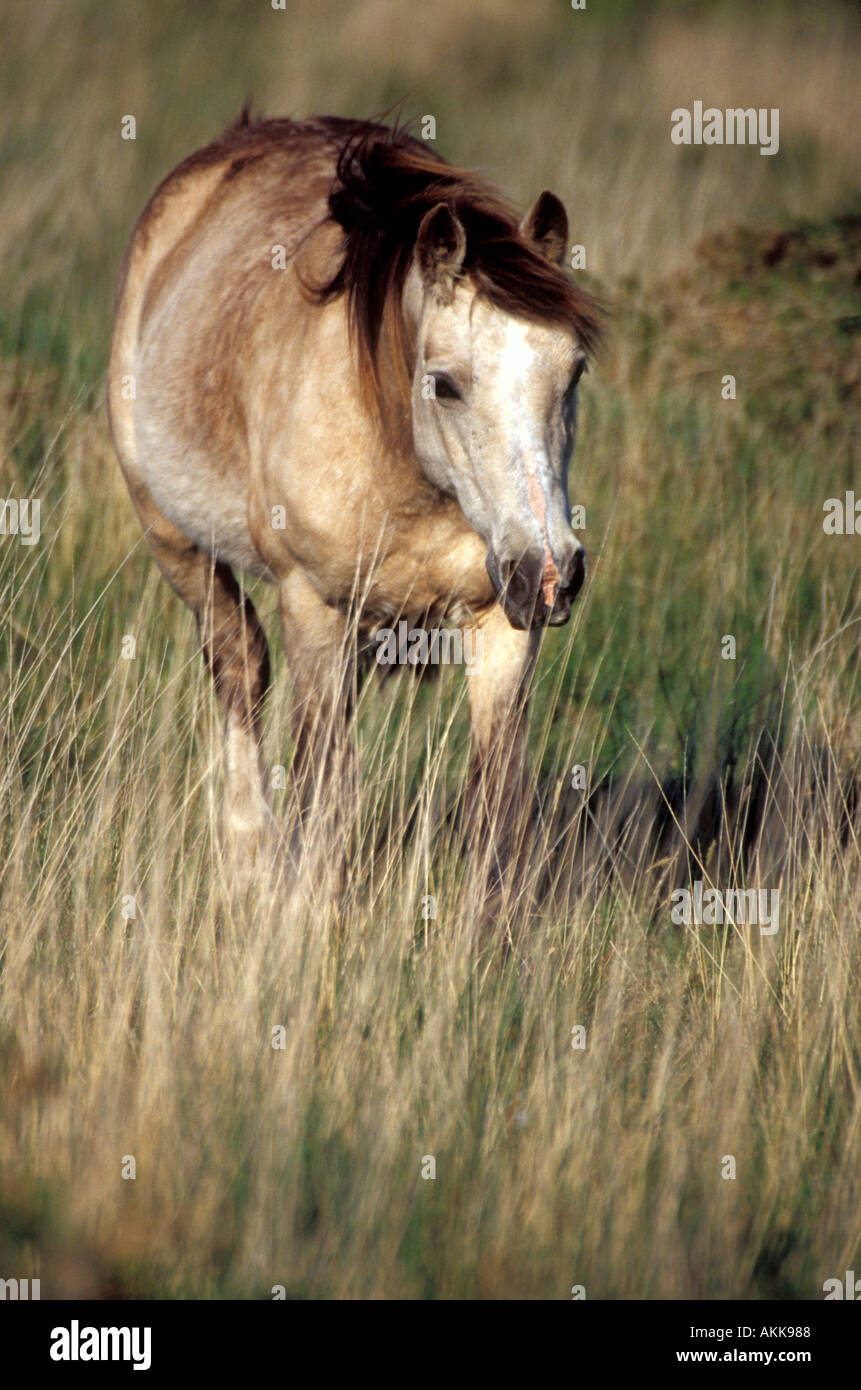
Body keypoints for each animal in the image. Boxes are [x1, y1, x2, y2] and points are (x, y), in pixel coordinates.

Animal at [107, 110, 601, 908]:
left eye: (574, 371)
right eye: (444, 383)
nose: (551, 573)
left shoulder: (500, 621)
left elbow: (497, 812)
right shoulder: (314, 606)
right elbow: (324, 794)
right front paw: (301, 916)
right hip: (172, 539)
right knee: (239, 666)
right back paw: (249, 860)